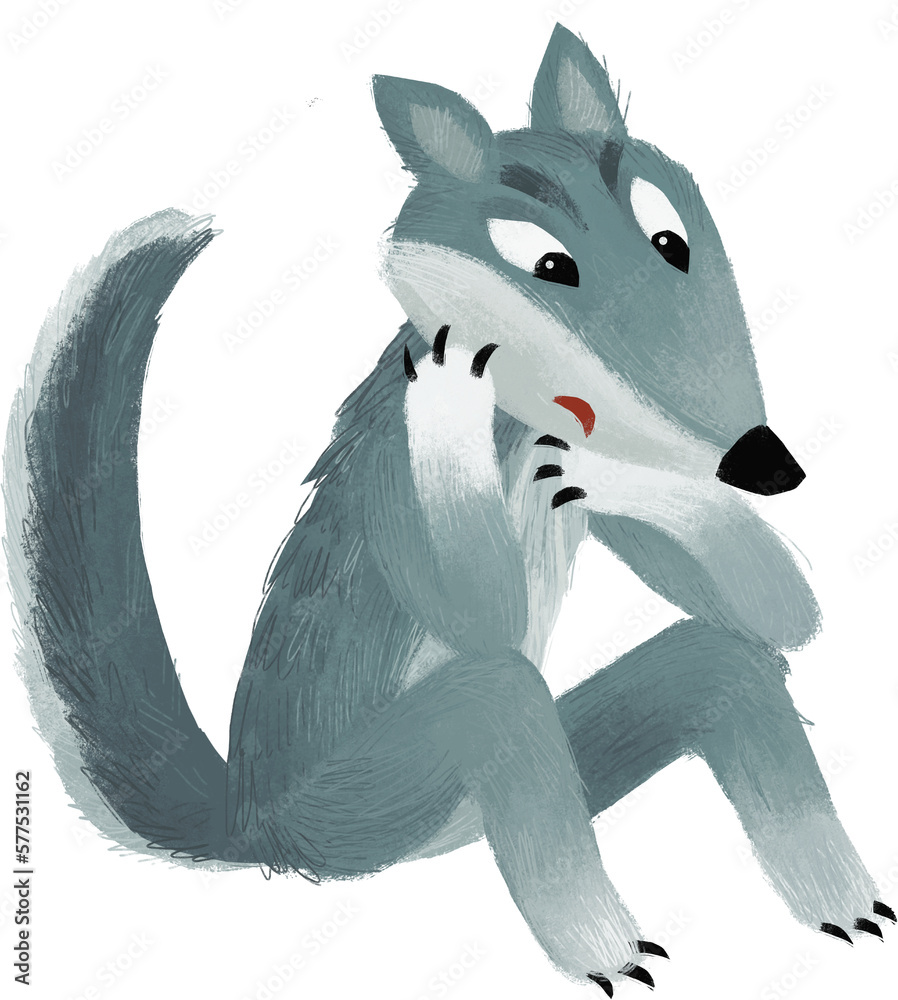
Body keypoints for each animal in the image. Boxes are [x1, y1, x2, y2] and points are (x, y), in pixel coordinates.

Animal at [4, 23, 892, 994]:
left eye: (671, 240)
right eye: (549, 266)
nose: (769, 461)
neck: (532, 418)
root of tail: (248, 818)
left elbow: (783, 615)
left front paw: (628, 478)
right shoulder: (399, 479)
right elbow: (481, 613)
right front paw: (450, 393)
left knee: (724, 662)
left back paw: (839, 901)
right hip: (368, 801)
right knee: (499, 691)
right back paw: (603, 943)